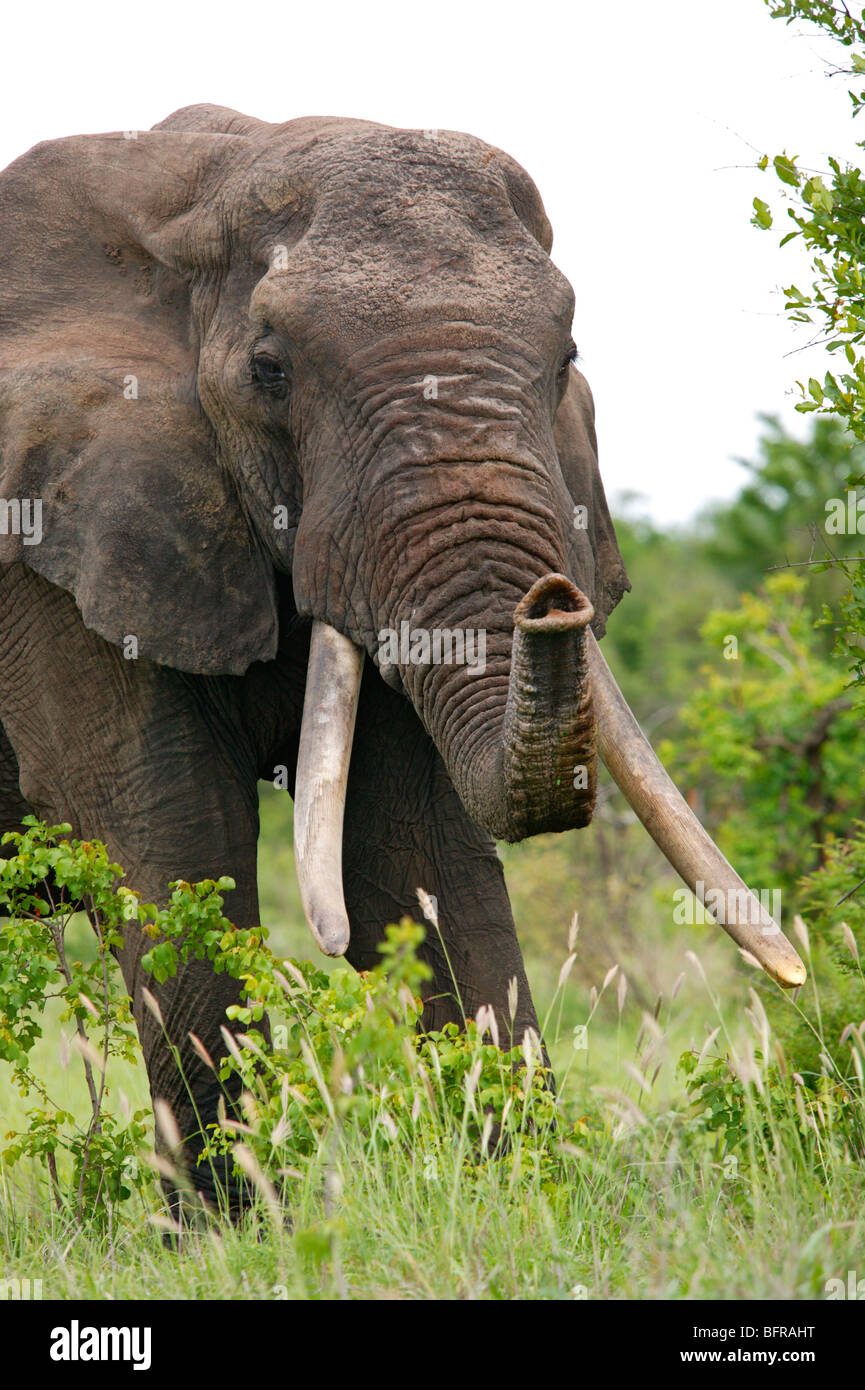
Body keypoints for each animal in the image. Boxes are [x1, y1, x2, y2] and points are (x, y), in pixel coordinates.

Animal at [0, 106, 805, 1209]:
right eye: (270, 370)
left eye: (566, 357)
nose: (552, 600)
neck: (198, 198)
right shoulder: (57, 542)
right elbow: (172, 835)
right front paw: (230, 1231)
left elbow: (411, 848)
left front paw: (525, 1201)